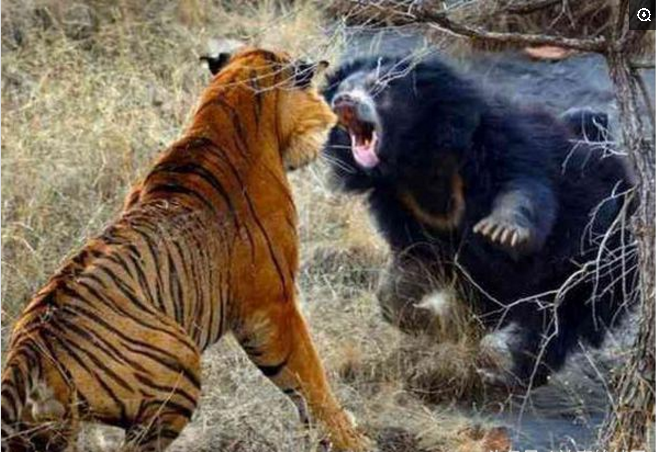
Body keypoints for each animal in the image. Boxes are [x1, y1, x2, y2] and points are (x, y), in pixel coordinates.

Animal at [1, 47, 371, 452]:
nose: (332, 118)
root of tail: (27, 355)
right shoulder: (273, 306)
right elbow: (309, 376)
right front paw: (349, 438)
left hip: (45, 431)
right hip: (179, 368)